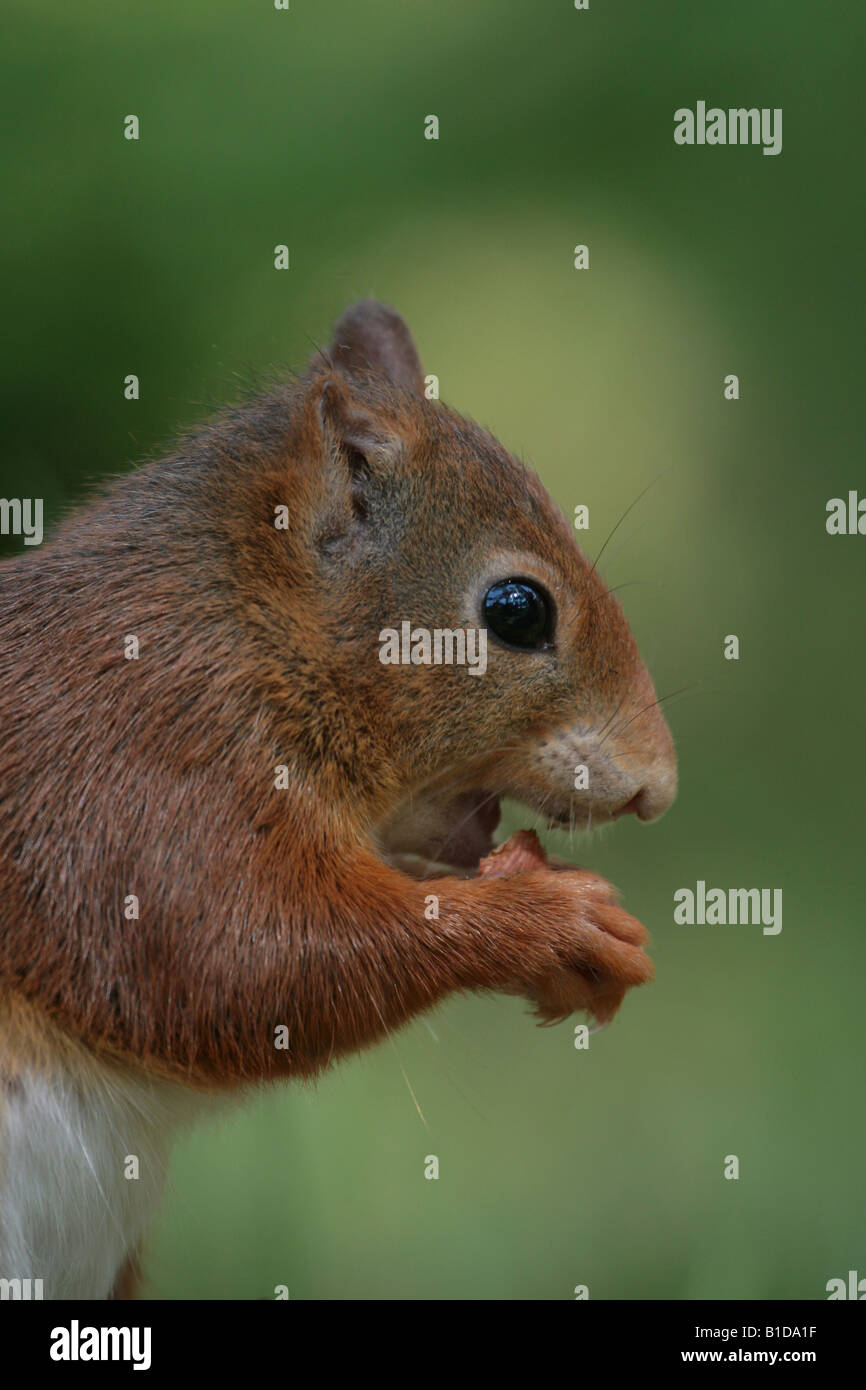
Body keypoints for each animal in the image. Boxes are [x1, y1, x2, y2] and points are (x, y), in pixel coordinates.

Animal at [0, 301, 676, 1299]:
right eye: (517, 611)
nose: (658, 784)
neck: (247, 630)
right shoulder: (137, 772)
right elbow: (230, 959)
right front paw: (548, 921)